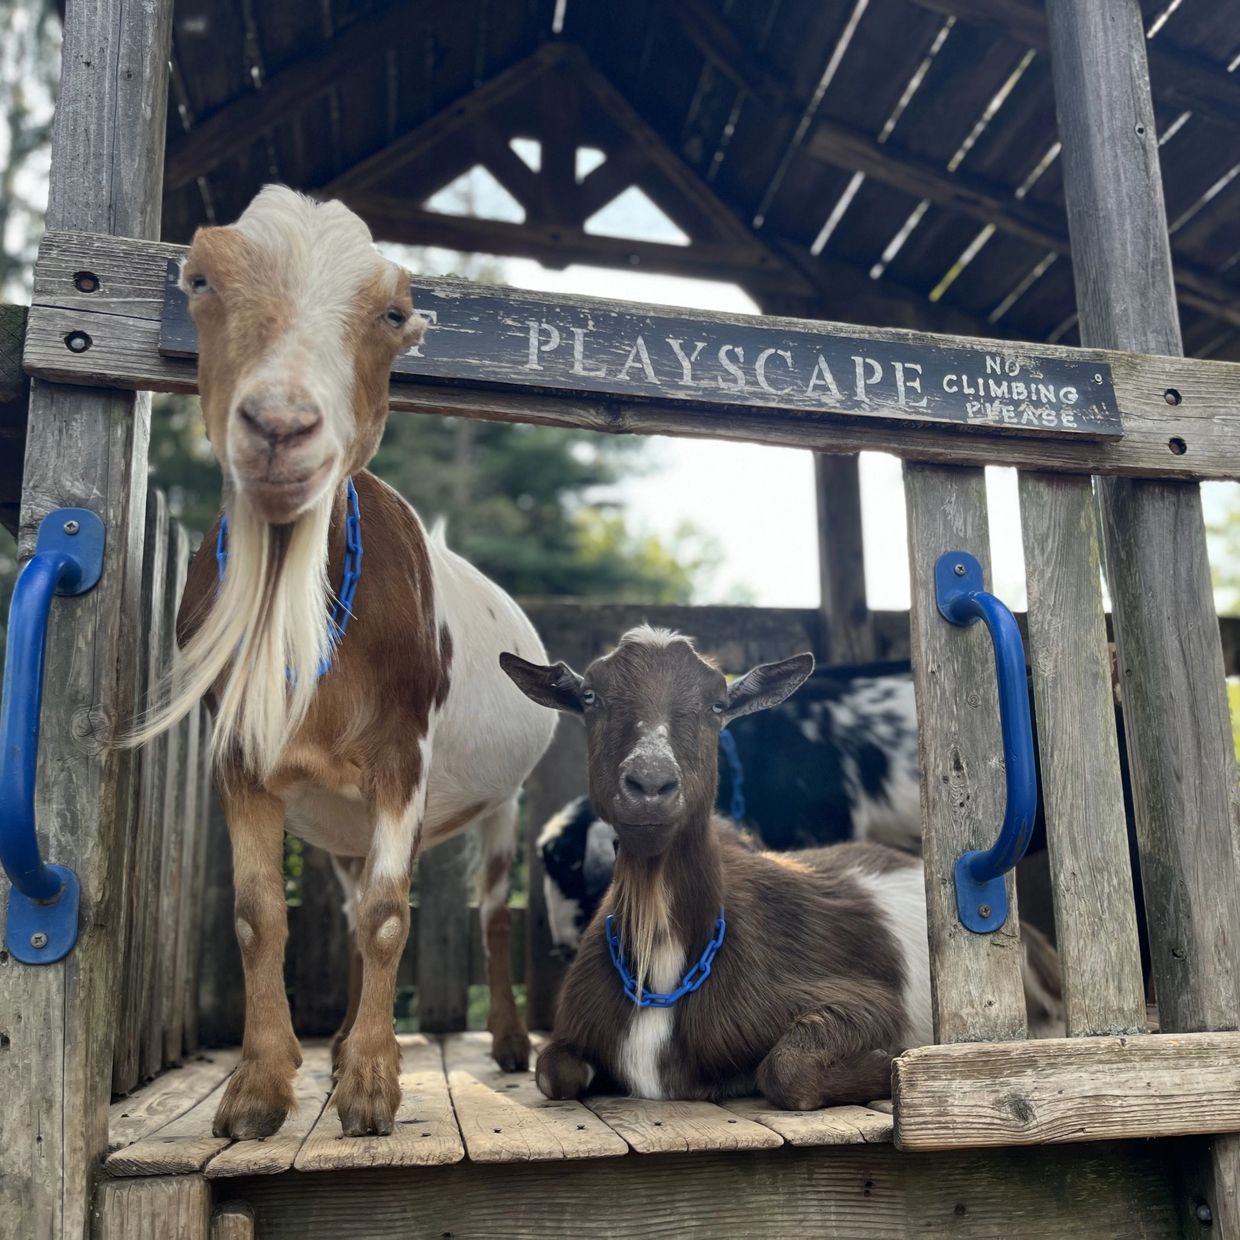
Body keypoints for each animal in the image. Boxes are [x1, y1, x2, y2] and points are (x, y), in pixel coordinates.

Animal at [133, 187, 554, 1138]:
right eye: (200, 277)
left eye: (394, 313)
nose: (282, 426)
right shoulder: (241, 757)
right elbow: (258, 916)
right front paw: (260, 1088)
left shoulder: (404, 755)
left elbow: (394, 916)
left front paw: (368, 1089)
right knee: (354, 903)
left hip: (504, 803)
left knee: (489, 912)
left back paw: (509, 1043)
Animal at [503, 626, 1062, 1108]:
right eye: (589, 696)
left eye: (718, 703)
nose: (650, 784)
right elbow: (553, 1072)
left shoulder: (860, 997)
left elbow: (787, 1069)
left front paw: (886, 1061)